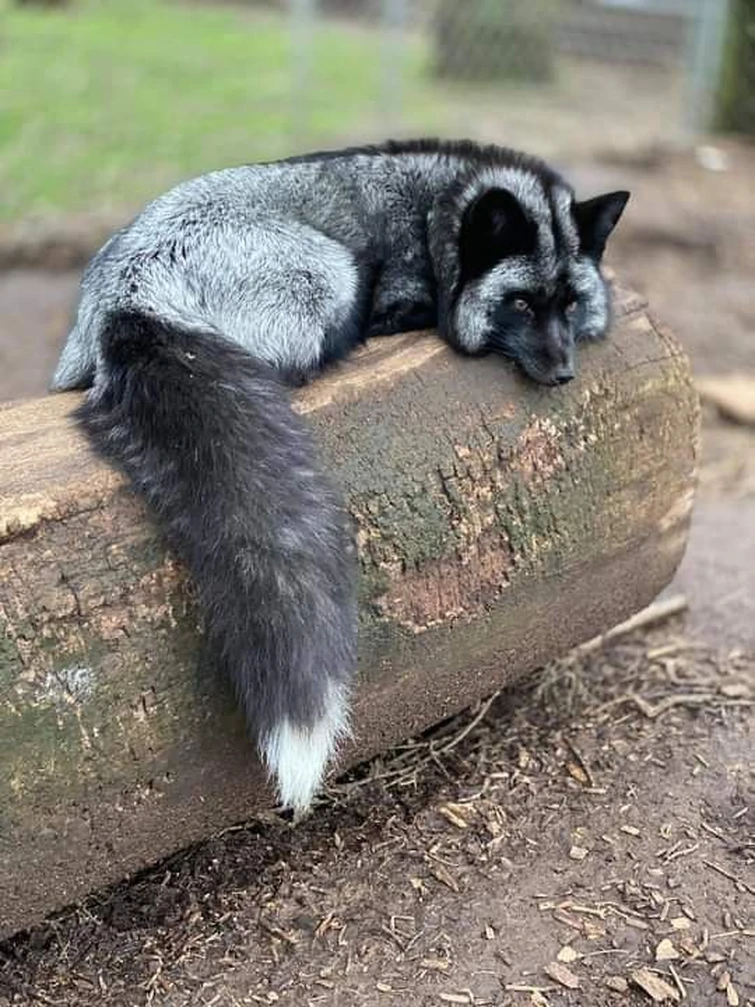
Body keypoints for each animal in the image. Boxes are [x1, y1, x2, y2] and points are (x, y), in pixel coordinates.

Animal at [52, 139, 629, 815]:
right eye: (520, 303)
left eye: (571, 304)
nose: (564, 372)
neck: (438, 214)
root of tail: (133, 294)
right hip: (334, 277)